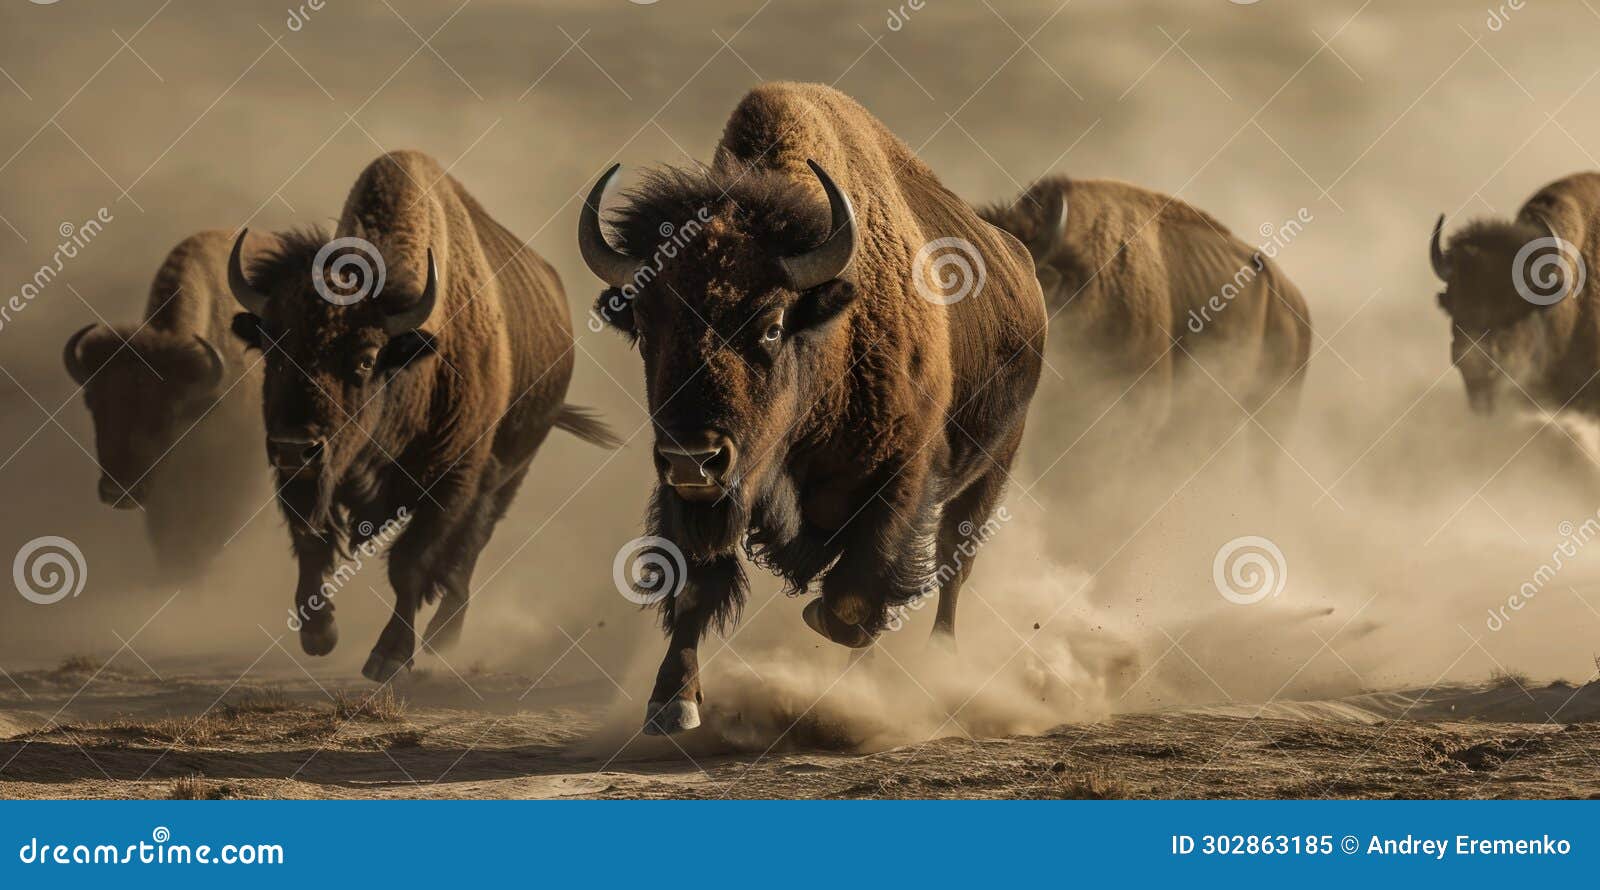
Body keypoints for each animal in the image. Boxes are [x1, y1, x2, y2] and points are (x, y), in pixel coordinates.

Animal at [228, 150, 616, 681]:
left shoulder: (451, 477)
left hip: (508, 472)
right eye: (272, 349)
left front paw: (389, 656)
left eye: (366, 359)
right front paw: (319, 634)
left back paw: (442, 635)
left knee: (471, 544)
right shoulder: (303, 477)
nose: (293, 445)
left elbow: (410, 563)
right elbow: (312, 541)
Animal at [580, 82, 1046, 735]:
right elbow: (696, 582)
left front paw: (831, 630)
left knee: (954, 566)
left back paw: (938, 665)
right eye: (646, 330)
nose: (694, 458)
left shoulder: (903, 477)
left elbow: (853, 596)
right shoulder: (695, 492)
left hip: (992, 469)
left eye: (772, 326)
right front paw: (672, 704)